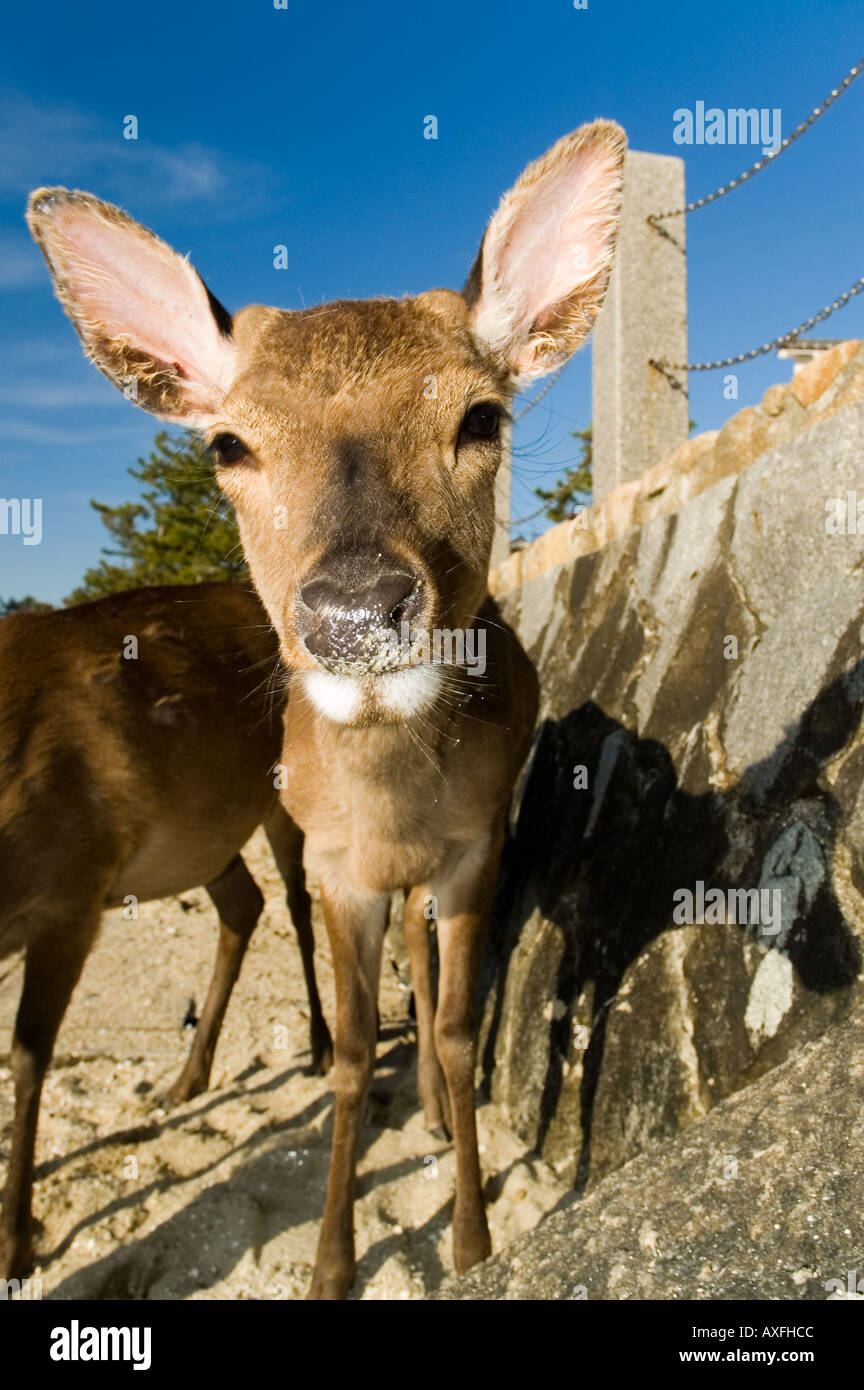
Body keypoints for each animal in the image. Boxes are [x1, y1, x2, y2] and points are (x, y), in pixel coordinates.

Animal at [0, 581, 332, 1281]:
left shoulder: (72, 894)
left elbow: (28, 1055)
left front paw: (15, 1242)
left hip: (287, 792)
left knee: (297, 904)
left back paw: (321, 1045)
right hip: (202, 839)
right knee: (244, 904)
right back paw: (186, 1079)